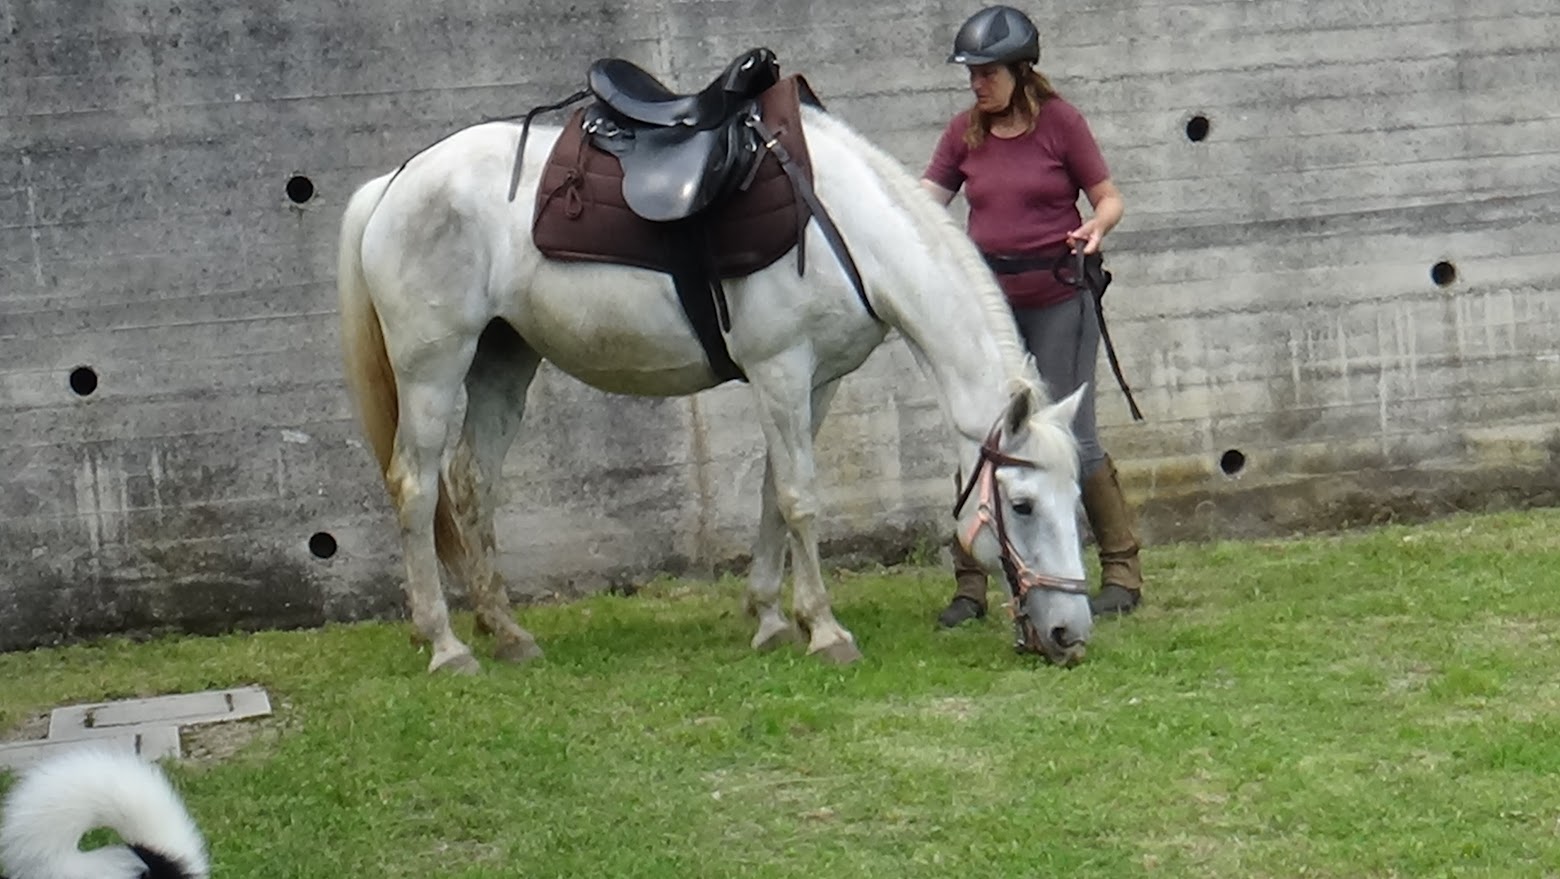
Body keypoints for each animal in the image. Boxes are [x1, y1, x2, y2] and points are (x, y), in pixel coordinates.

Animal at [335, 98, 1093, 673]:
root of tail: (395, 182)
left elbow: (772, 493)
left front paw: (770, 617)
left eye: (1075, 496)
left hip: (501, 362)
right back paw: (446, 644)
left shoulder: (817, 381)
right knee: (416, 486)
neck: (843, 228)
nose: (1070, 633)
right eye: (1022, 505)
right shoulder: (780, 370)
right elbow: (800, 497)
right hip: (433, 368)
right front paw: (825, 629)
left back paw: (508, 631)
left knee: (471, 484)